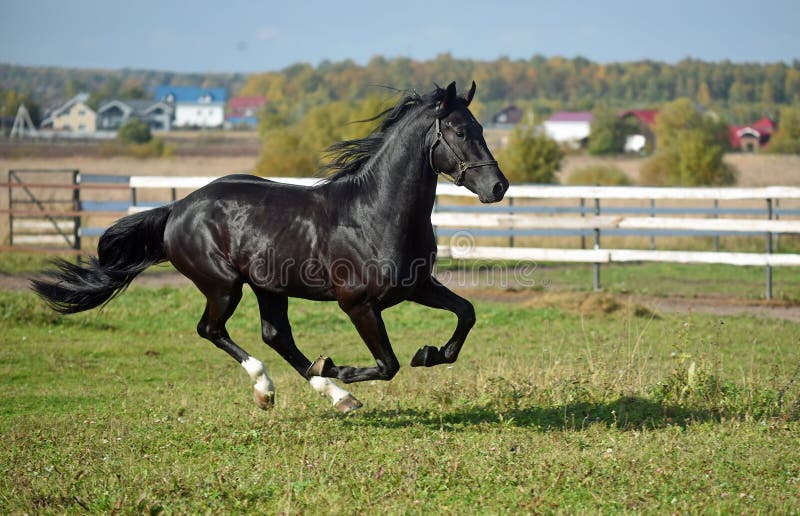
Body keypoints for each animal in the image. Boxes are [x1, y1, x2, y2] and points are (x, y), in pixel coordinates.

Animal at [32, 81, 509, 414]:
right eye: (460, 131)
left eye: (482, 128)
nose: (498, 187)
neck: (375, 212)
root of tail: (178, 208)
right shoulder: (357, 304)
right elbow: (387, 364)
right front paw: (336, 366)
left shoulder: (417, 286)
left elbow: (467, 313)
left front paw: (430, 354)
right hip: (224, 285)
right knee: (212, 330)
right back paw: (274, 387)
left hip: (269, 287)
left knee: (276, 335)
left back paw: (335, 396)